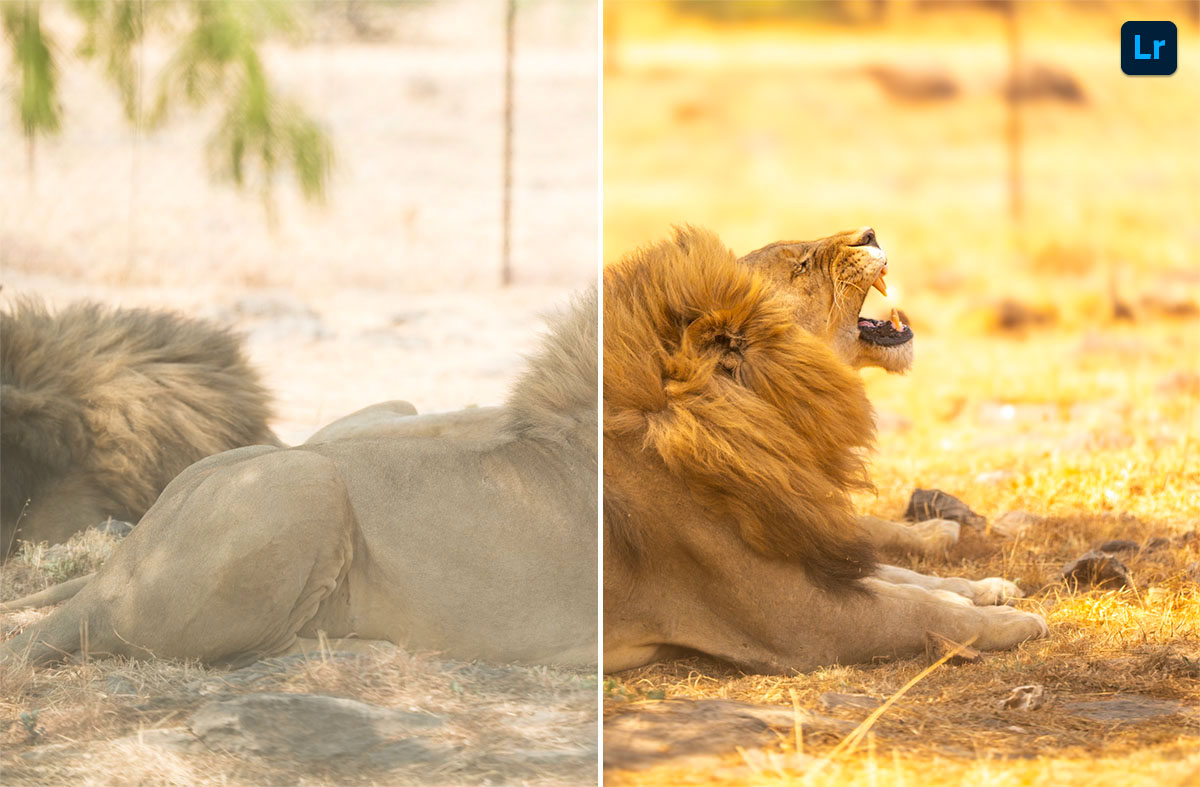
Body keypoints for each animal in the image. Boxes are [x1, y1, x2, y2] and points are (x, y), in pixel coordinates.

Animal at [603, 228, 1046, 674]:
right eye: (801, 267)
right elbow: (921, 611)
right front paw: (1013, 619)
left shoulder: (808, 537)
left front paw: (981, 587)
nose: (869, 233)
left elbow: (903, 580)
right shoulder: (798, 619)